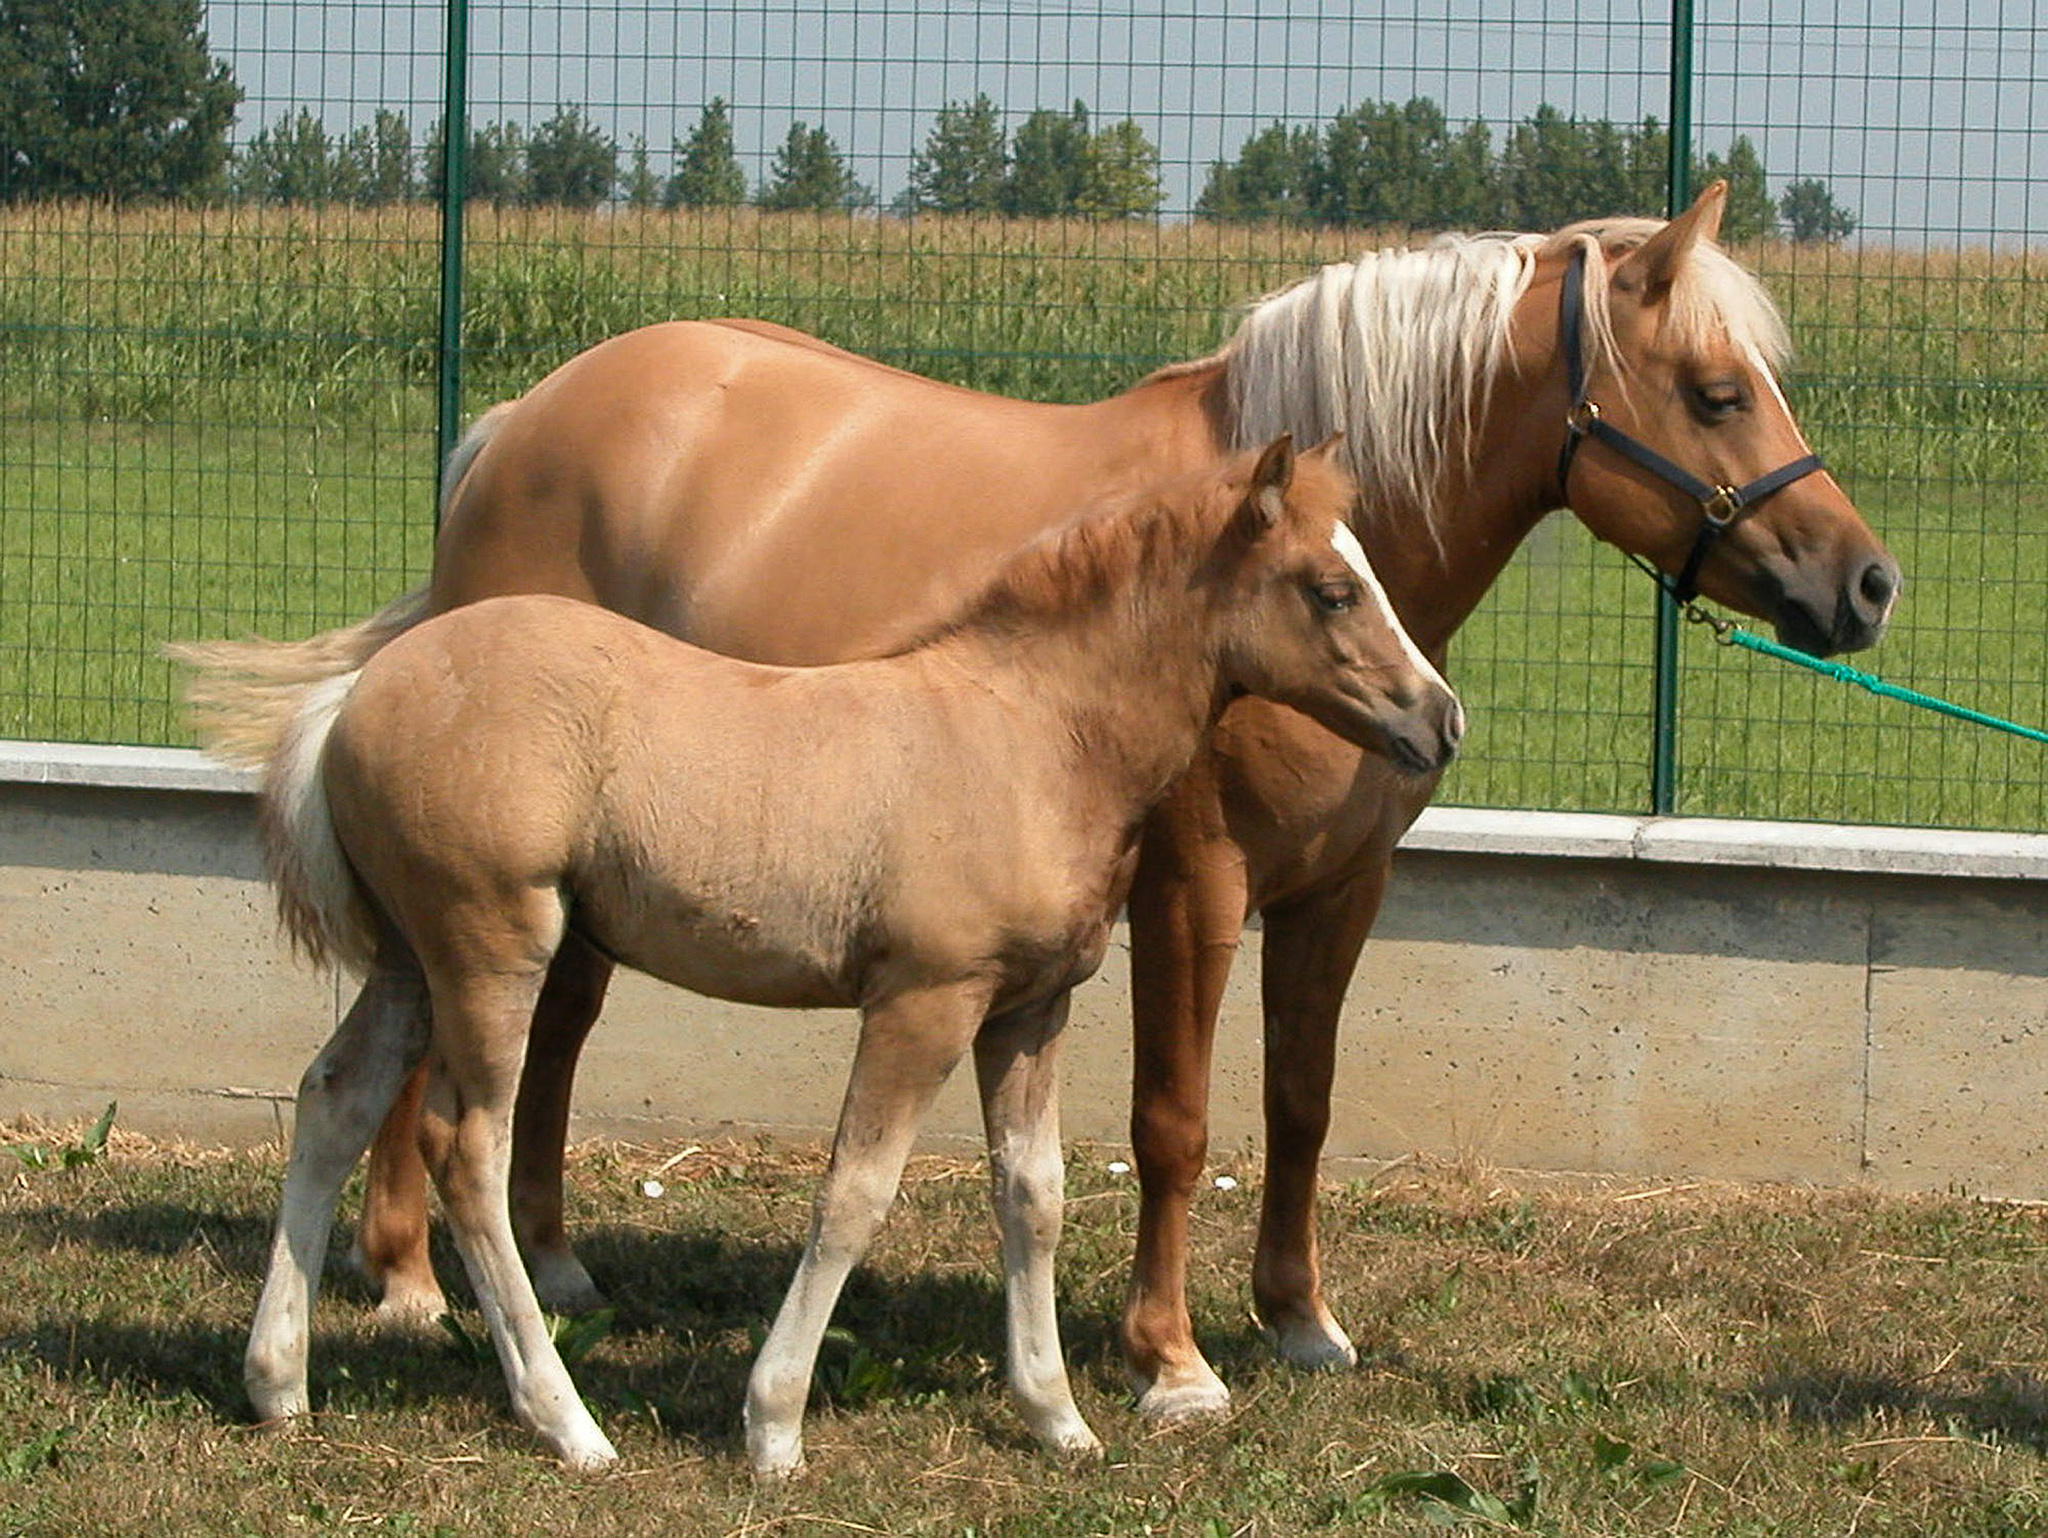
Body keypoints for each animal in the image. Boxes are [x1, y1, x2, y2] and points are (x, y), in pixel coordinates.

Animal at [192, 438, 1463, 1474]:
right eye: (1331, 587)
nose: (1440, 720)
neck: (1028, 730)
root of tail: (358, 689)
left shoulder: (1028, 1008)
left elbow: (1034, 1195)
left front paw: (1056, 1415)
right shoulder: (923, 999)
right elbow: (855, 1191)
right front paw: (773, 1423)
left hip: (411, 959)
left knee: (335, 1098)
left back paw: (278, 1383)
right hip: (490, 945)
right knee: (466, 1146)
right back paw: (567, 1422)